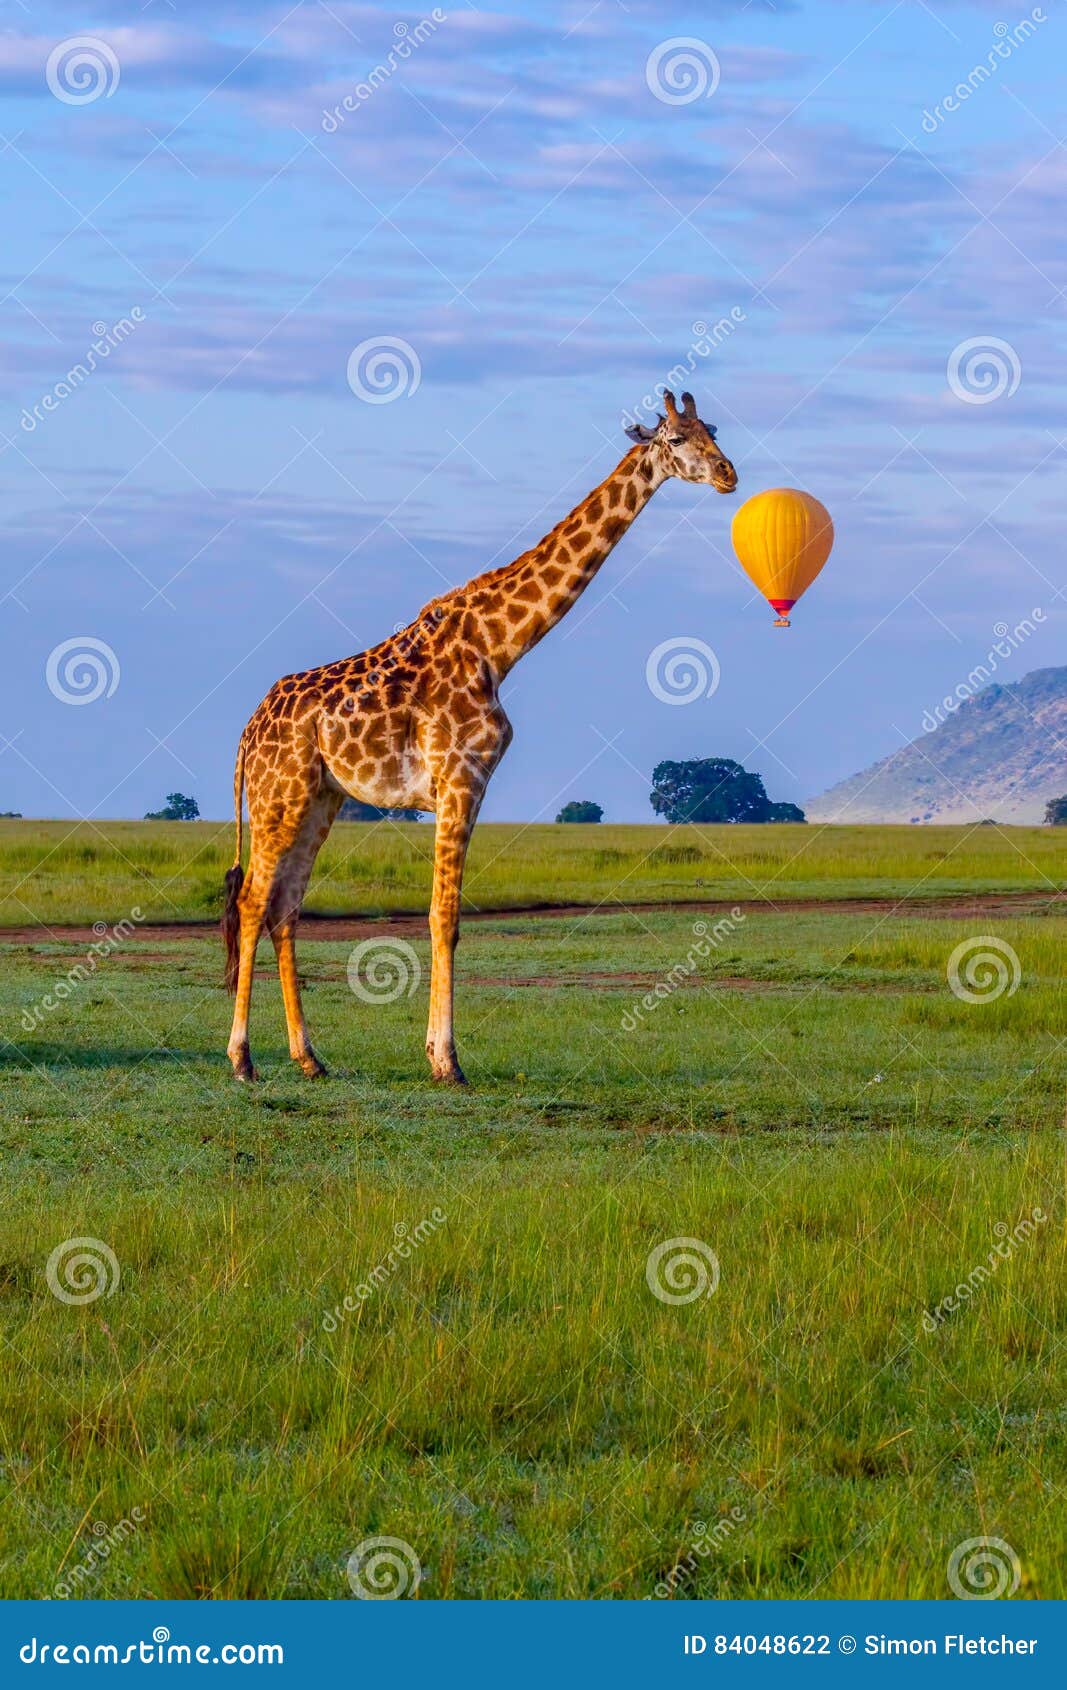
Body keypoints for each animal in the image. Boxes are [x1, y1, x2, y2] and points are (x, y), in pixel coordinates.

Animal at [222, 390, 737, 1084]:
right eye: (678, 439)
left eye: (714, 429)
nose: (729, 474)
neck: (501, 646)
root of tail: (247, 733)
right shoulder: (459, 778)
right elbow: (445, 917)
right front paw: (447, 1062)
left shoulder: (466, 785)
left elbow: (446, 916)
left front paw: (438, 1054)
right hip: (281, 795)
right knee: (253, 902)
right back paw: (243, 1059)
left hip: (320, 798)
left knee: (285, 907)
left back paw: (310, 1058)